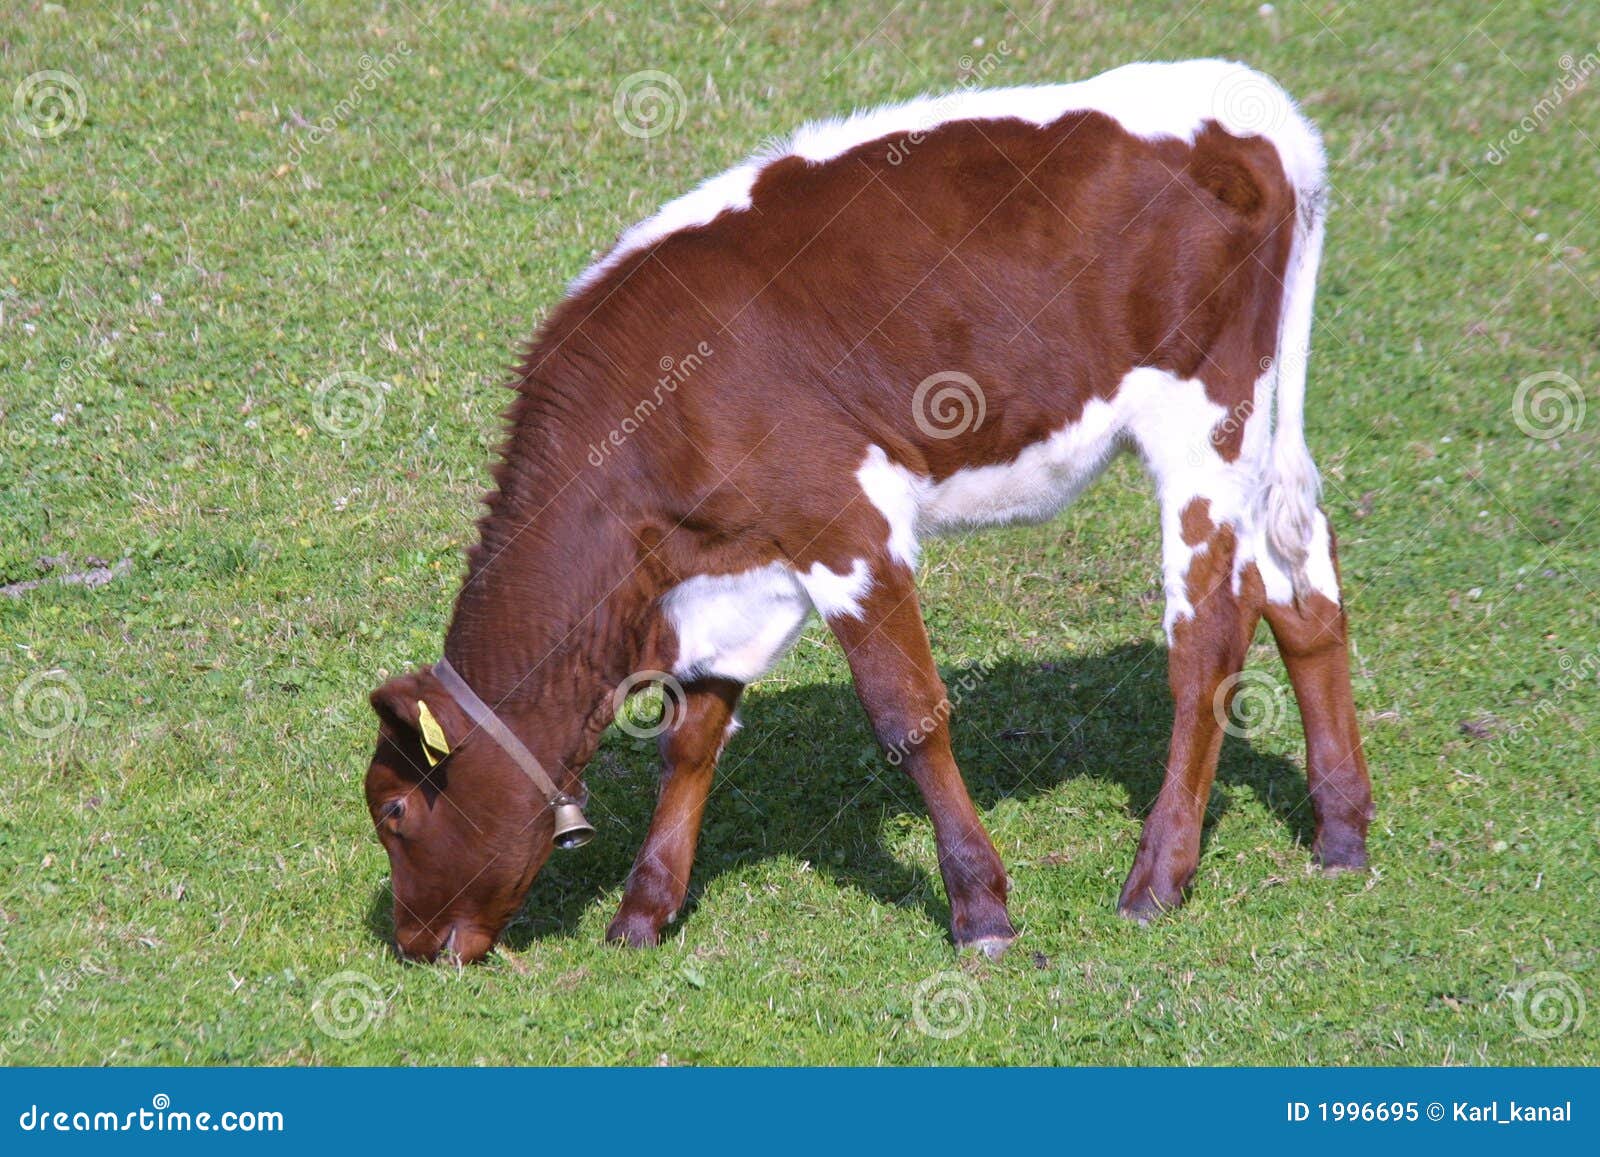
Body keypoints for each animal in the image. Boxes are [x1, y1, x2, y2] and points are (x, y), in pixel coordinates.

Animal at [364, 58, 1373, 963]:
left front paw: (982, 912)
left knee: (1209, 632)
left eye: (395, 810)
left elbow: (907, 715)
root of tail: (1266, 115)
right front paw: (642, 913)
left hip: (1204, 417)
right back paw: (1341, 832)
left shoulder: (843, 523)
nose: (412, 944)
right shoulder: (742, 565)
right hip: (1260, 425)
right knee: (1302, 578)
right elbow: (693, 736)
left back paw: (1158, 878)